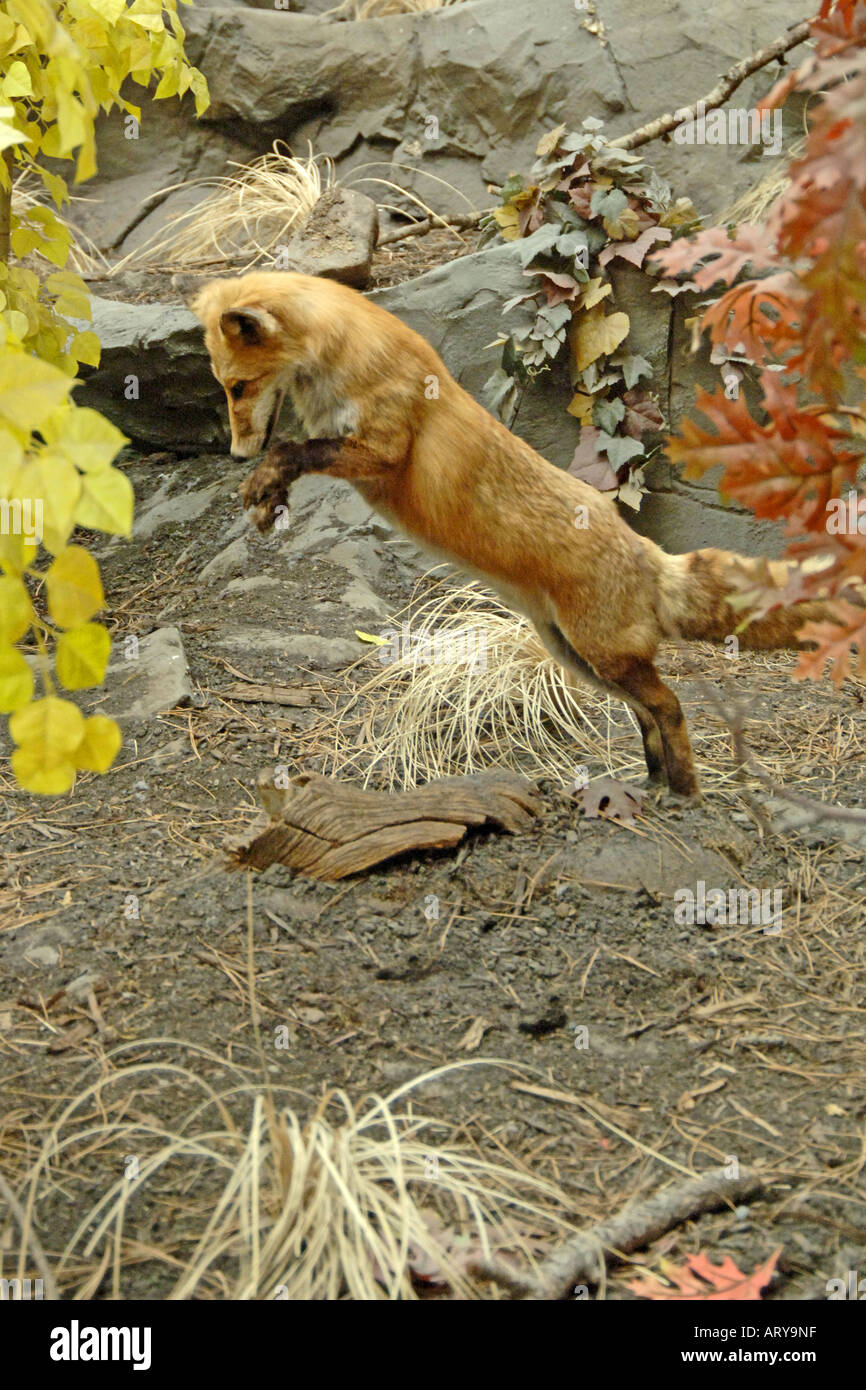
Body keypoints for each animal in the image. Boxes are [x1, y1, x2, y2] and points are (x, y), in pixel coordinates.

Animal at [189, 270, 837, 799]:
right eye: (222, 386)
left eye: (238, 387)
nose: (234, 452)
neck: (344, 359)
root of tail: (650, 554)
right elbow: (297, 453)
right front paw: (267, 496)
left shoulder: (386, 450)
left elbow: (296, 448)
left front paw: (264, 479)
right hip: (578, 657)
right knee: (648, 713)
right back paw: (651, 781)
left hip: (602, 655)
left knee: (672, 707)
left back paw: (683, 792)